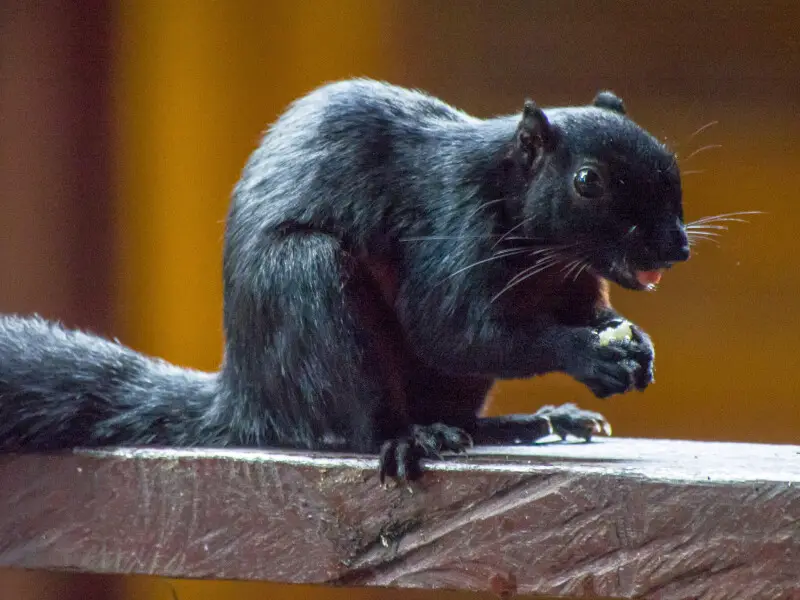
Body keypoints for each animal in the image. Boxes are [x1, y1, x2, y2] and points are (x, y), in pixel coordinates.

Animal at [0, 79, 690, 482]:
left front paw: (630, 346)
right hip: (307, 283)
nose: (676, 246)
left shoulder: (575, 285)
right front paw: (586, 354)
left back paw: (524, 423)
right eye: (587, 182)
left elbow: (590, 317)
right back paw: (408, 440)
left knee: (450, 409)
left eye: (669, 162)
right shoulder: (451, 232)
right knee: (354, 426)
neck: (548, 256)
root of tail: (247, 397)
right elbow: (453, 330)